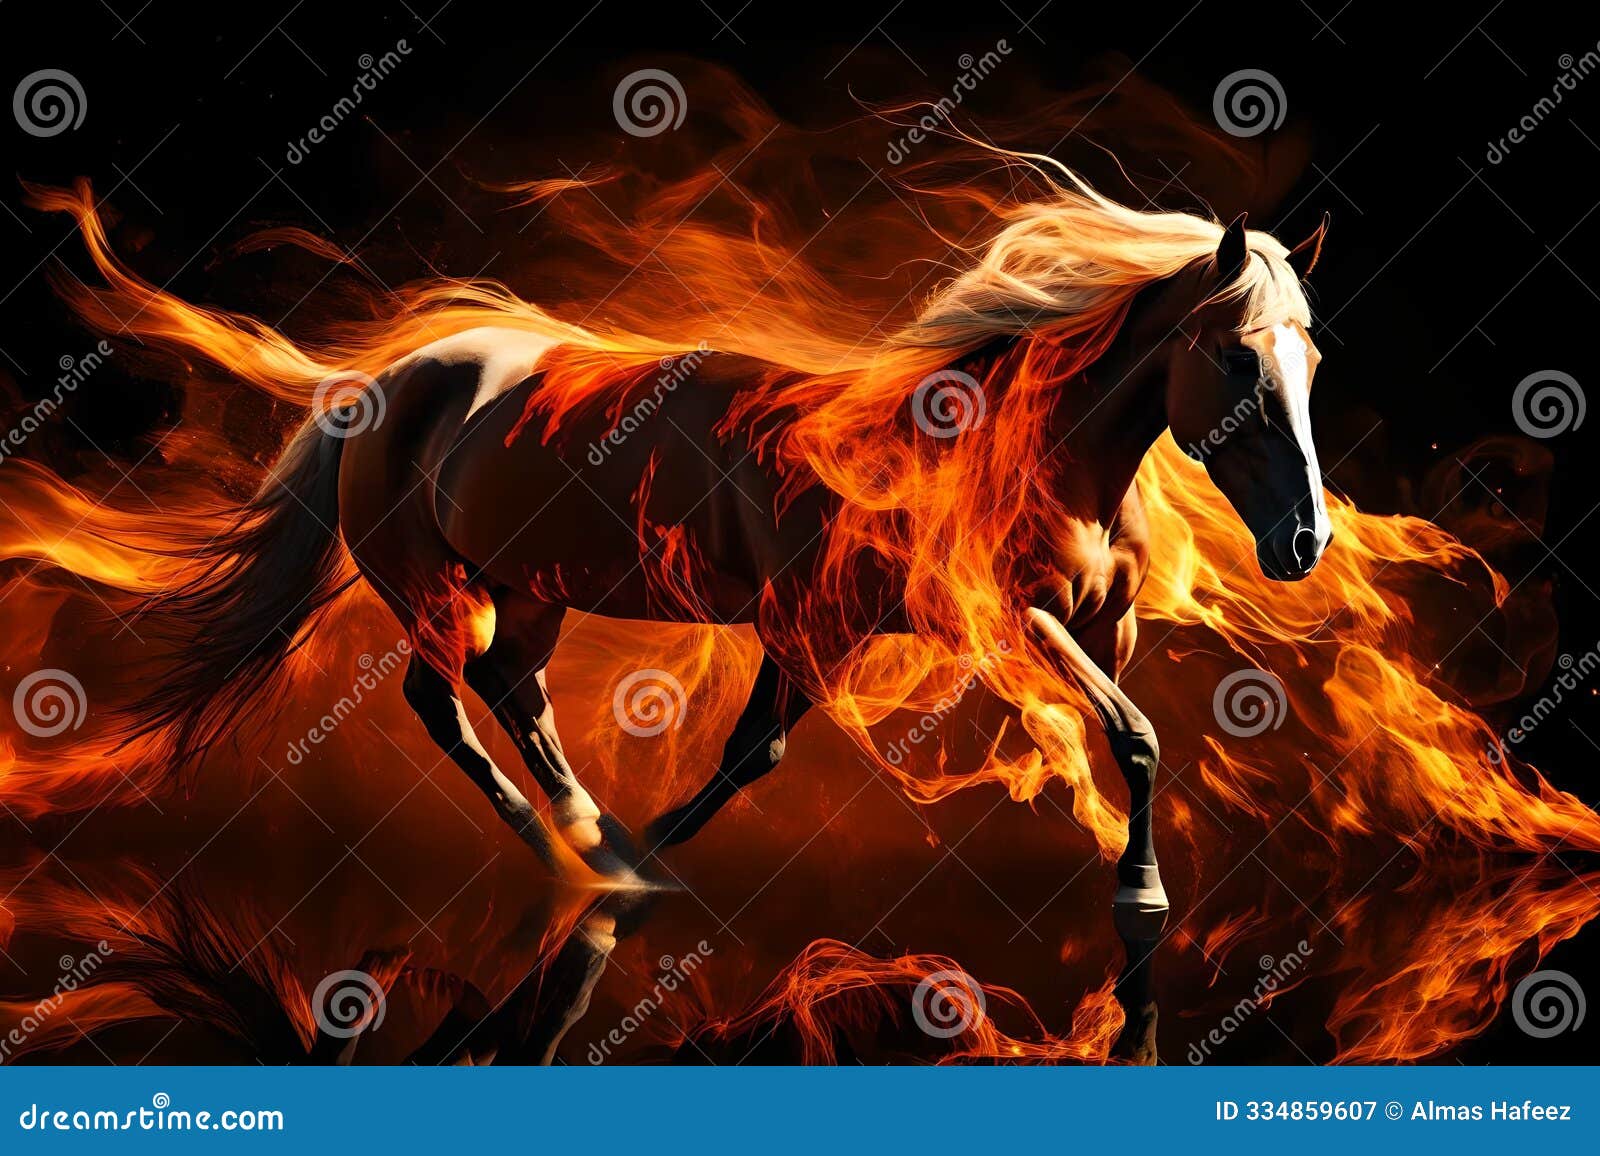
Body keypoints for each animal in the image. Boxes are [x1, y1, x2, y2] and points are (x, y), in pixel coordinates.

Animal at [117, 187, 1331, 976]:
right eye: (1237, 355)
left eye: (1311, 358)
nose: (1303, 541)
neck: (1023, 452)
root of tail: (389, 380)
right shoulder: (992, 617)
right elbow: (1125, 732)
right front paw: (1142, 895)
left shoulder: (1084, 626)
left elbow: (1125, 733)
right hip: (434, 587)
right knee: (441, 701)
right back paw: (576, 854)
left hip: (532, 591)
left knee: (515, 693)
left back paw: (589, 837)